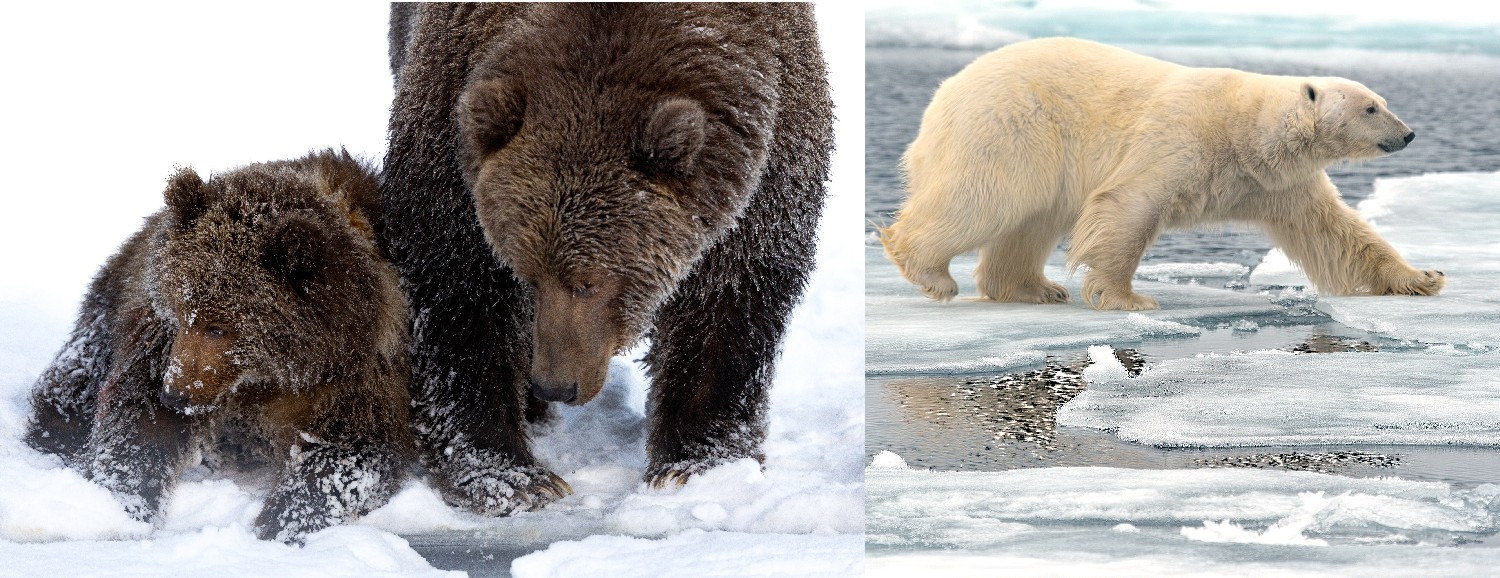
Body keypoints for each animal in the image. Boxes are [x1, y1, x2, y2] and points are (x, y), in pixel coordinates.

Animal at [25, 149, 415, 543]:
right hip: (113, 300)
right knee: (80, 375)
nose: (175, 394)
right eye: (181, 313)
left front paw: (281, 522)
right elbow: (139, 417)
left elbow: (350, 453)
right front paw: (121, 505)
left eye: (218, 327)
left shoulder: (360, 375)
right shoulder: (159, 337)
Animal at [381, 3, 831, 515]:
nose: (555, 385)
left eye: (588, 282)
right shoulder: (449, 134)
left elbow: (730, 305)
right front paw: (513, 476)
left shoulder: (768, 168)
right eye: (527, 276)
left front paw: (694, 463)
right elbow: (458, 296)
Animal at [879, 37, 1445, 310]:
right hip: (1011, 127)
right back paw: (930, 272)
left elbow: (1336, 232)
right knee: (983, 199)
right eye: (1371, 107)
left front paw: (1424, 278)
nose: (1409, 133)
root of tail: (947, 89)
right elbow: (1129, 206)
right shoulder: (1182, 139)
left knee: (1032, 220)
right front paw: (1130, 298)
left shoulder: (1276, 181)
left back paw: (1033, 288)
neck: (1246, 130)